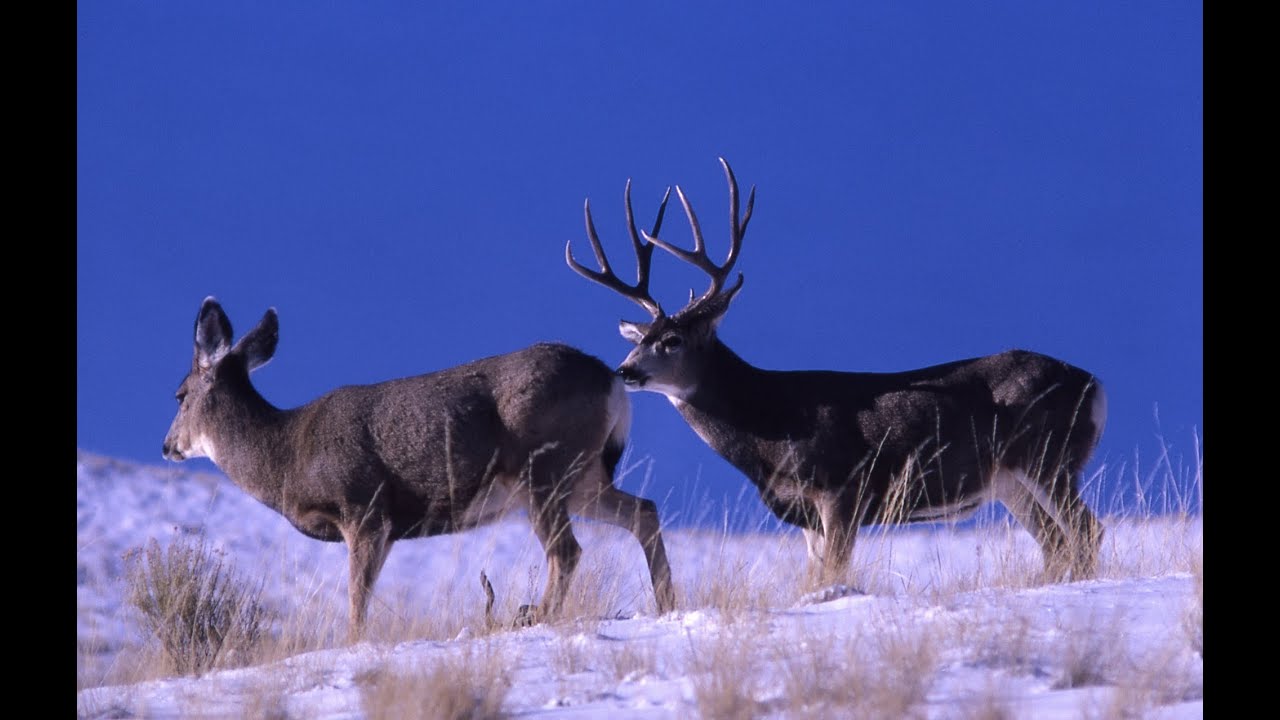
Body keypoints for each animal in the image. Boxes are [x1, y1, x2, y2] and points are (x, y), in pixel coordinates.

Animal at [162, 297, 676, 640]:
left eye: (180, 395)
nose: (167, 446)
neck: (288, 454)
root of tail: (612, 380)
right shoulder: (386, 526)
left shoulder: (365, 507)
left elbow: (357, 599)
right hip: (584, 476)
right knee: (643, 511)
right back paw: (668, 602)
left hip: (543, 469)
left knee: (567, 550)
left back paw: (534, 614)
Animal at [566, 158, 1106, 590]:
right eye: (638, 340)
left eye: (673, 340)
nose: (625, 371)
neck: (770, 423)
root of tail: (1095, 383)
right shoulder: (806, 515)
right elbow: (816, 573)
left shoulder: (843, 488)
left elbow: (835, 572)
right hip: (1012, 481)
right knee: (1057, 542)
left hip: (1048, 458)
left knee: (1086, 531)